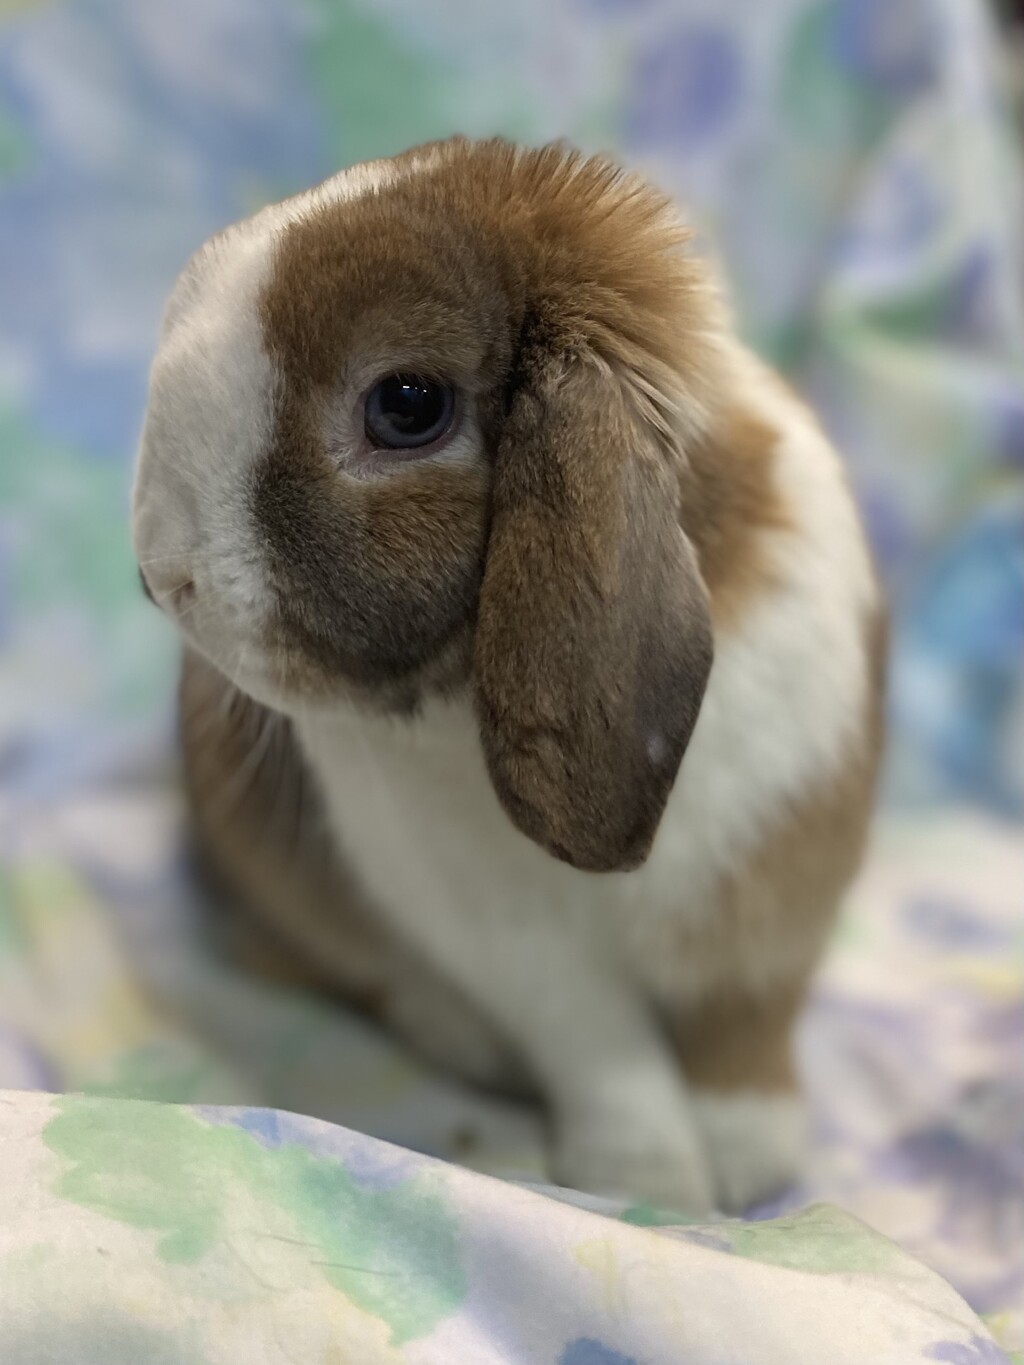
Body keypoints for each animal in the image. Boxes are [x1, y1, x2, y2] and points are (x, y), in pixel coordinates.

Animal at [133, 137, 885, 1216]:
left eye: (407, 405)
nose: (162, 576)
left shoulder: (768, 898)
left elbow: (740, 1028)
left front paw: (748, 1166)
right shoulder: (512, 947)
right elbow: (605, 1055)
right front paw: (645, 1183)